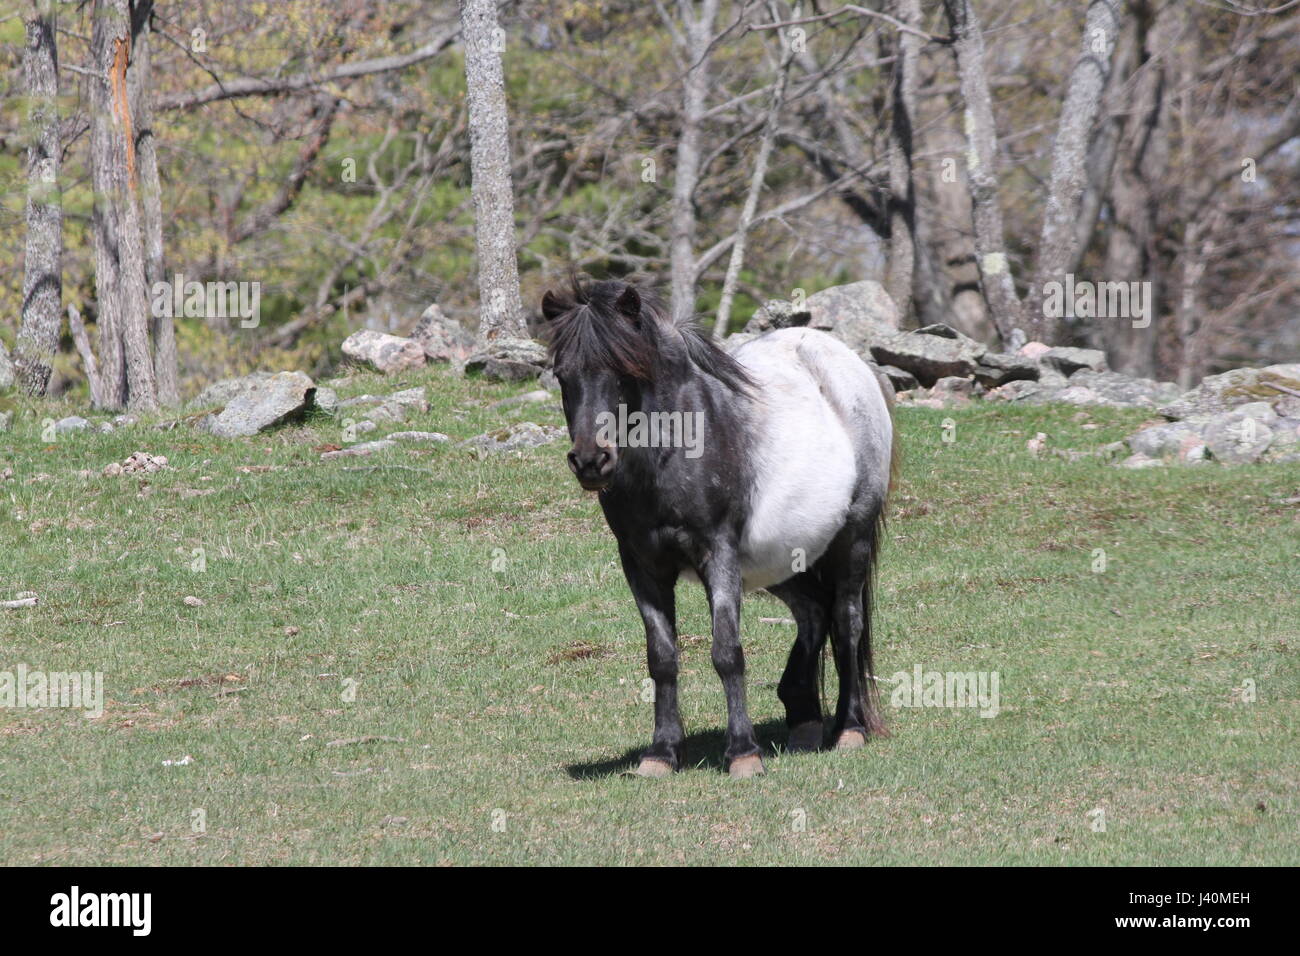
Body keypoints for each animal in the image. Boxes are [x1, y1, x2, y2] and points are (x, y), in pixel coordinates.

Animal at [541, 277, 895, 778]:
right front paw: (661, 754)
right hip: (783, 560)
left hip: (853, 540)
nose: (591, 461)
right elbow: (662, 658)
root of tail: (845, 362)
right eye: (561, 374)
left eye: (624, 370)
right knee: (813, 612)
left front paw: (743, 753)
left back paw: (849, 729)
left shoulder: (718, 555)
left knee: (846, 622)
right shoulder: (641, 566)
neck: (675, 451)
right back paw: (805, 721)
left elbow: (727, 652)